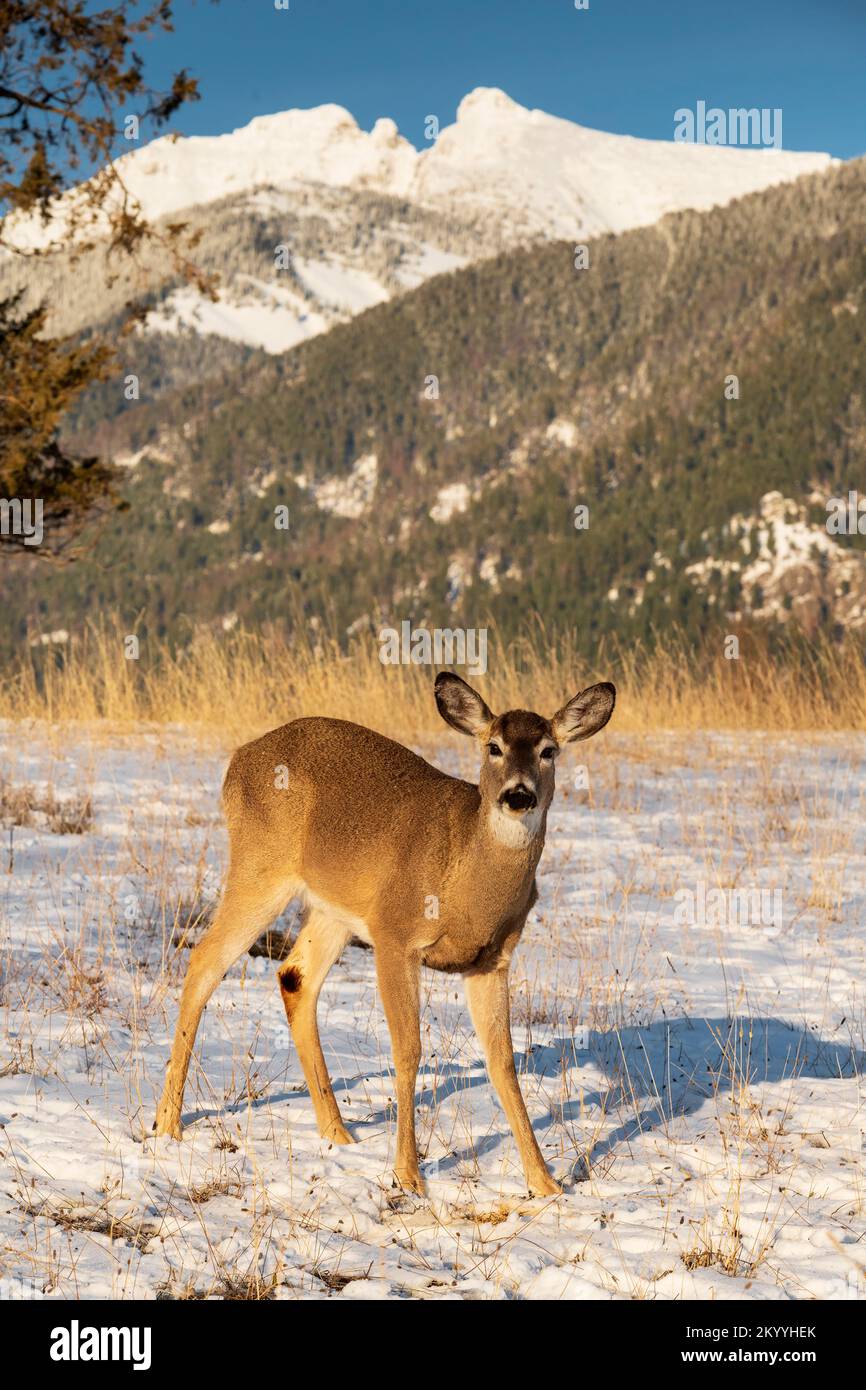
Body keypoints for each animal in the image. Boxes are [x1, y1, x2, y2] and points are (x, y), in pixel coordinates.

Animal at [154, 671, 615, 1196]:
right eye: (493, 746)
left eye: (548, 750)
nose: (518, 795)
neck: (467, 879)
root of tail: (238, 758)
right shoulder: (395, 936)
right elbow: (408, 1051)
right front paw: (408, 1174)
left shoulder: (491, 961)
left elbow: (503, 1063)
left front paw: (545, 1183)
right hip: (261, 868)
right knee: (204, 961)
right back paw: (167, 1124)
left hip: (334, 909)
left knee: (295, 976)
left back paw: (337, 1132)